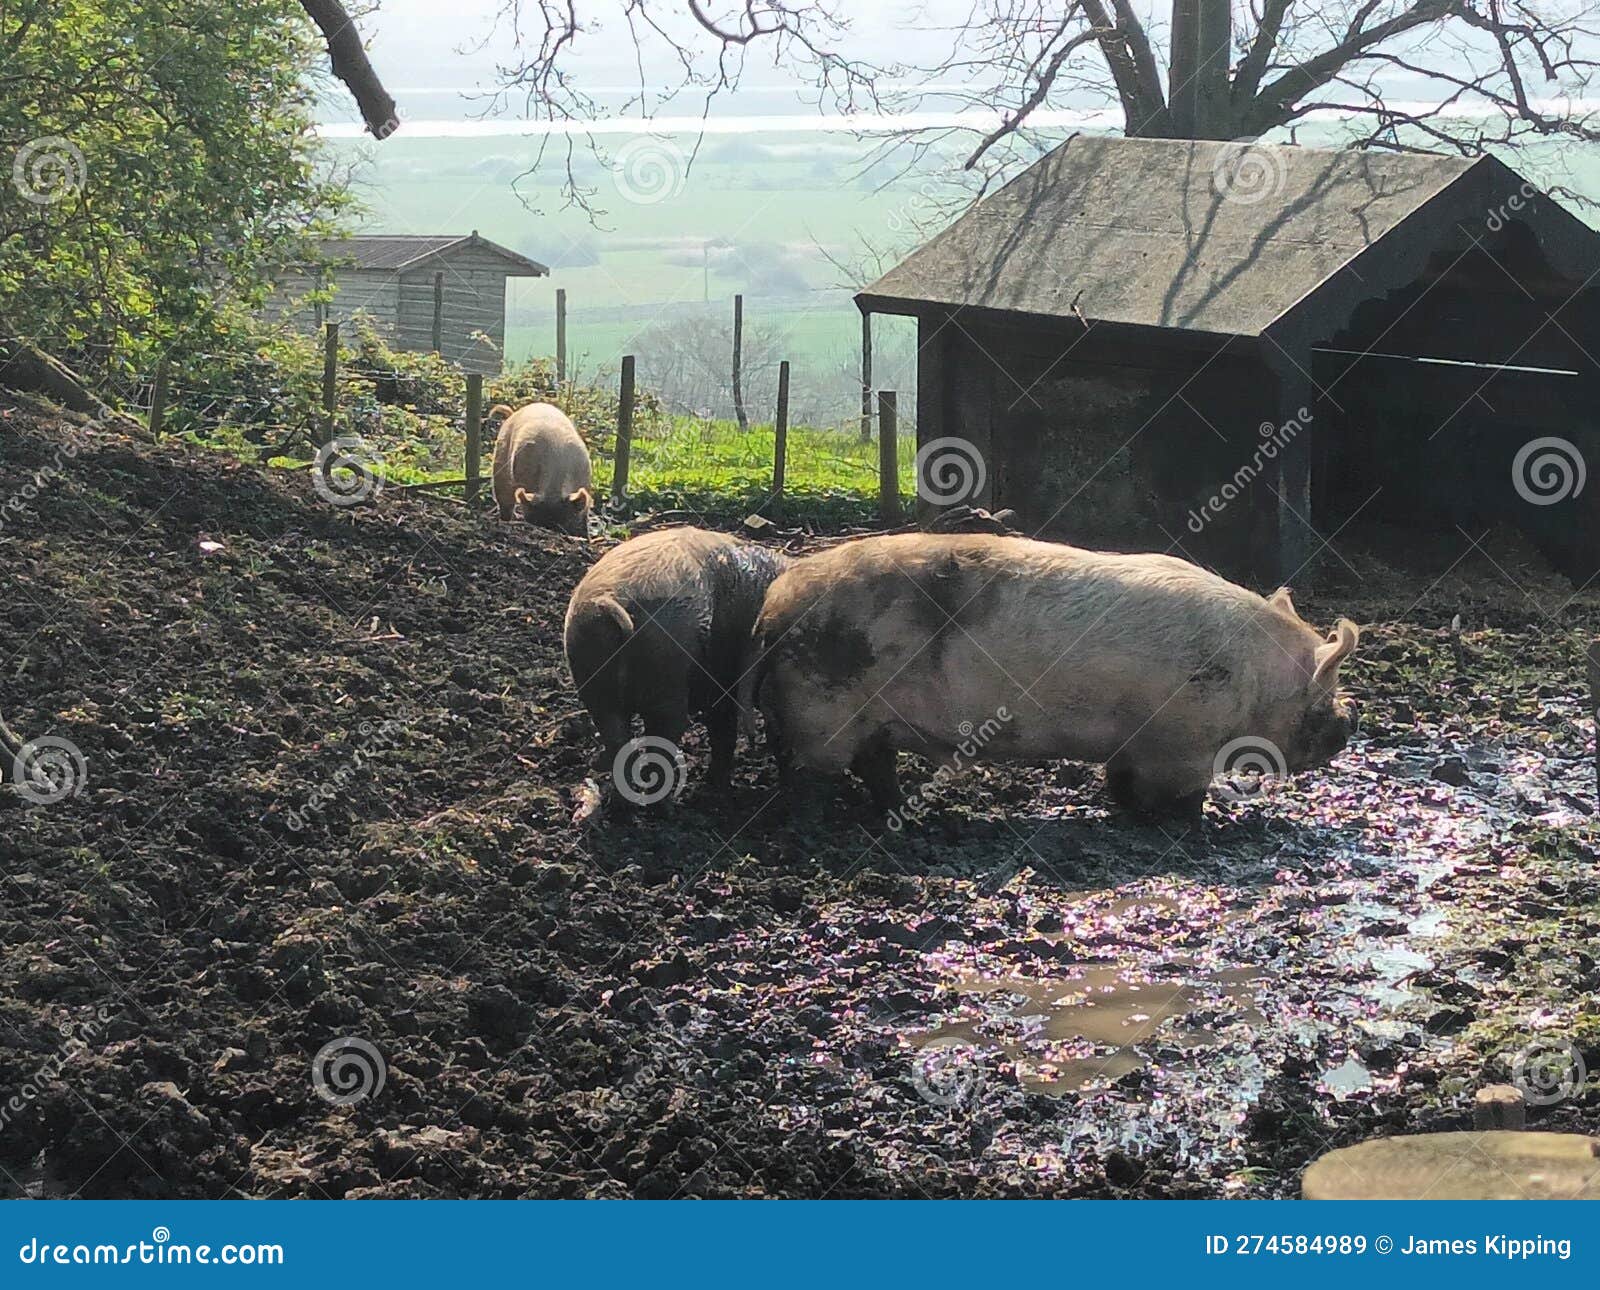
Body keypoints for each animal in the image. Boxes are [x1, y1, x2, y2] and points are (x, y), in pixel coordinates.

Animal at [745, 533, 1359, 819]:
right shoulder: (1182, 741)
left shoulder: (1134, 743)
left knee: (874, 764)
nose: (1350, 722)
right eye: (1323, 691)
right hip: (821, 706)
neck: (1254, 682)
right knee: (805, 763)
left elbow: (1120, 782)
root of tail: (773, 606)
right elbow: (1180, 792)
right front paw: (1189, 822)